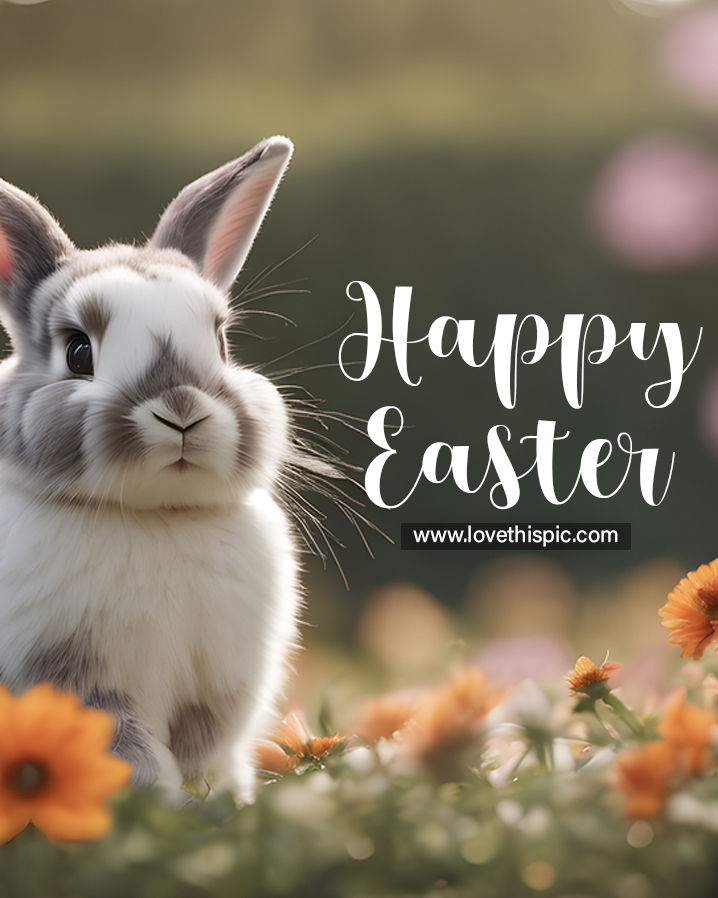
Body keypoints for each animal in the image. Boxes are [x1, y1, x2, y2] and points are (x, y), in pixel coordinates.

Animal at [0, 136, 303, 802]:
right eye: (78, 352)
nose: (182, 410)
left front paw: (214, 804)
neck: (156, 516)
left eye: (221, 343)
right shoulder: (77, 683)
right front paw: (163, 807)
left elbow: (199, 751)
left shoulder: (213, 692)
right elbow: (127, 754)